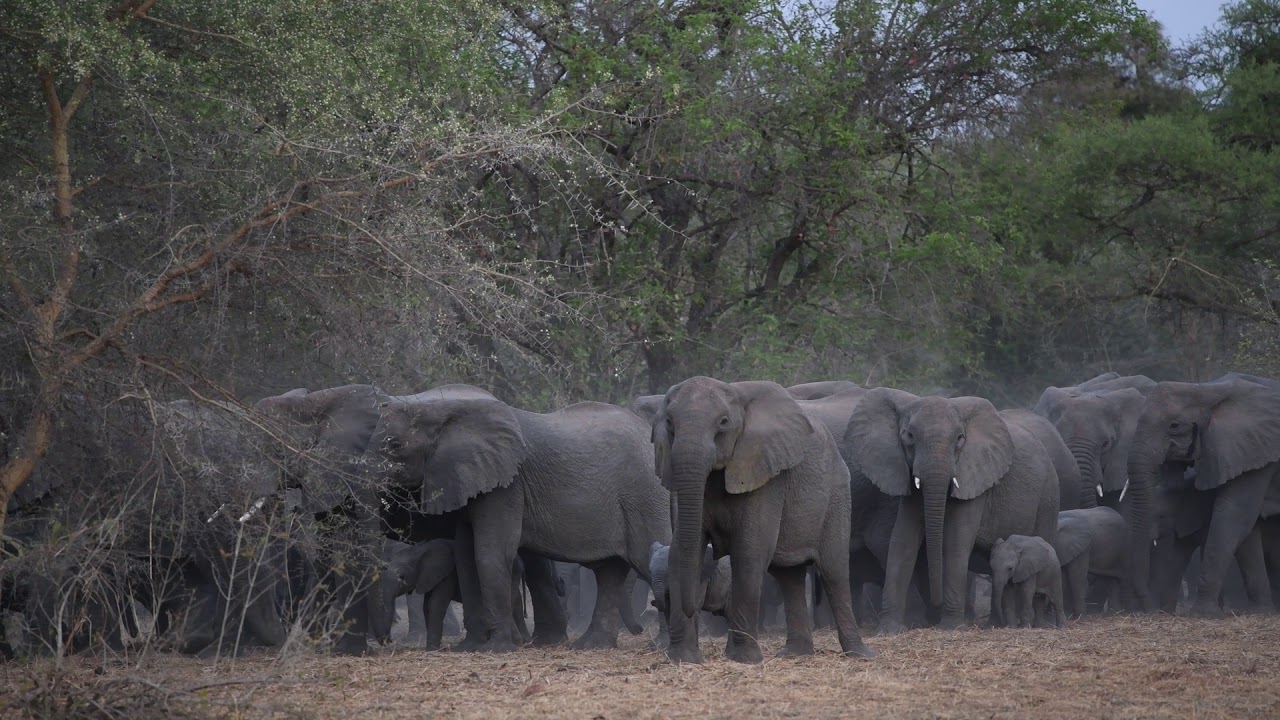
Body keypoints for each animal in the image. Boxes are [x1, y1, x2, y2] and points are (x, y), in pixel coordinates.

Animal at [370, 390, 670, 652]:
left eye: (395, 447)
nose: (386, 642)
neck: (439, 410)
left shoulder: (507, 485)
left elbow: (491, 553)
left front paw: (497, 649)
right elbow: (466, 558)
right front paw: (469, 648)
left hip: (645, 496)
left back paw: (661, 646)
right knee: (610, 572)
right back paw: (592, 646)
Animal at [650, 377, 874, 664]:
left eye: (723, 422)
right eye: (669, 423)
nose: (691, 609)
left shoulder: (765, 475)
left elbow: (749, 552)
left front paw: (744, 659)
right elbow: (681, 550)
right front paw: (684, 659)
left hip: (836, 494)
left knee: (834, 571)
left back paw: (860, 654)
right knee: (789, 576)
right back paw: (795, 654)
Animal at [846, 388, 1060, 633]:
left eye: (959, 439)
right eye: (909, 436)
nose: (934, 606)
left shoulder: (974, 475)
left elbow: (956, 540)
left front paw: (952, 627)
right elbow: (902, 539)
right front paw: (889, 630)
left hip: (1048, 496)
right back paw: (995, 625)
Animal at [1124, 376, 1280, 616]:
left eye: (1174, 425)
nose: (1147, 610)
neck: (1208, 390)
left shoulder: (1257, 453)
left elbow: (1234, 515)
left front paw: (1203, 614)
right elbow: (1246, 526)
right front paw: (1260, 612)